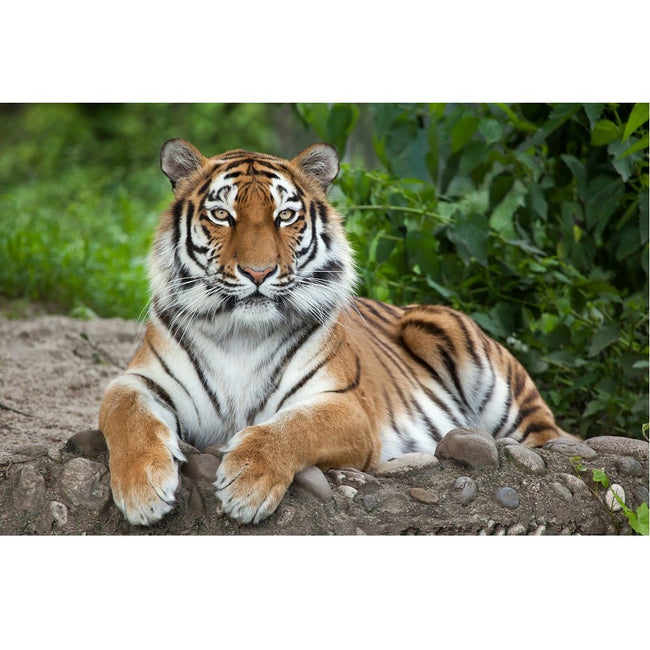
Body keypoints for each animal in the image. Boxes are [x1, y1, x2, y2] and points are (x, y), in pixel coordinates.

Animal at [99, 138, 565, 526]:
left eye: (285, 216)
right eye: (222, 215)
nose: (257, 273)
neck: (241, 335)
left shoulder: (346, 406)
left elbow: (292, 428)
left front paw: (247, 483)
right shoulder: (139, 380)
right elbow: (127, 414)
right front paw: (143, 489)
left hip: (457, 345)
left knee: (549, 438)